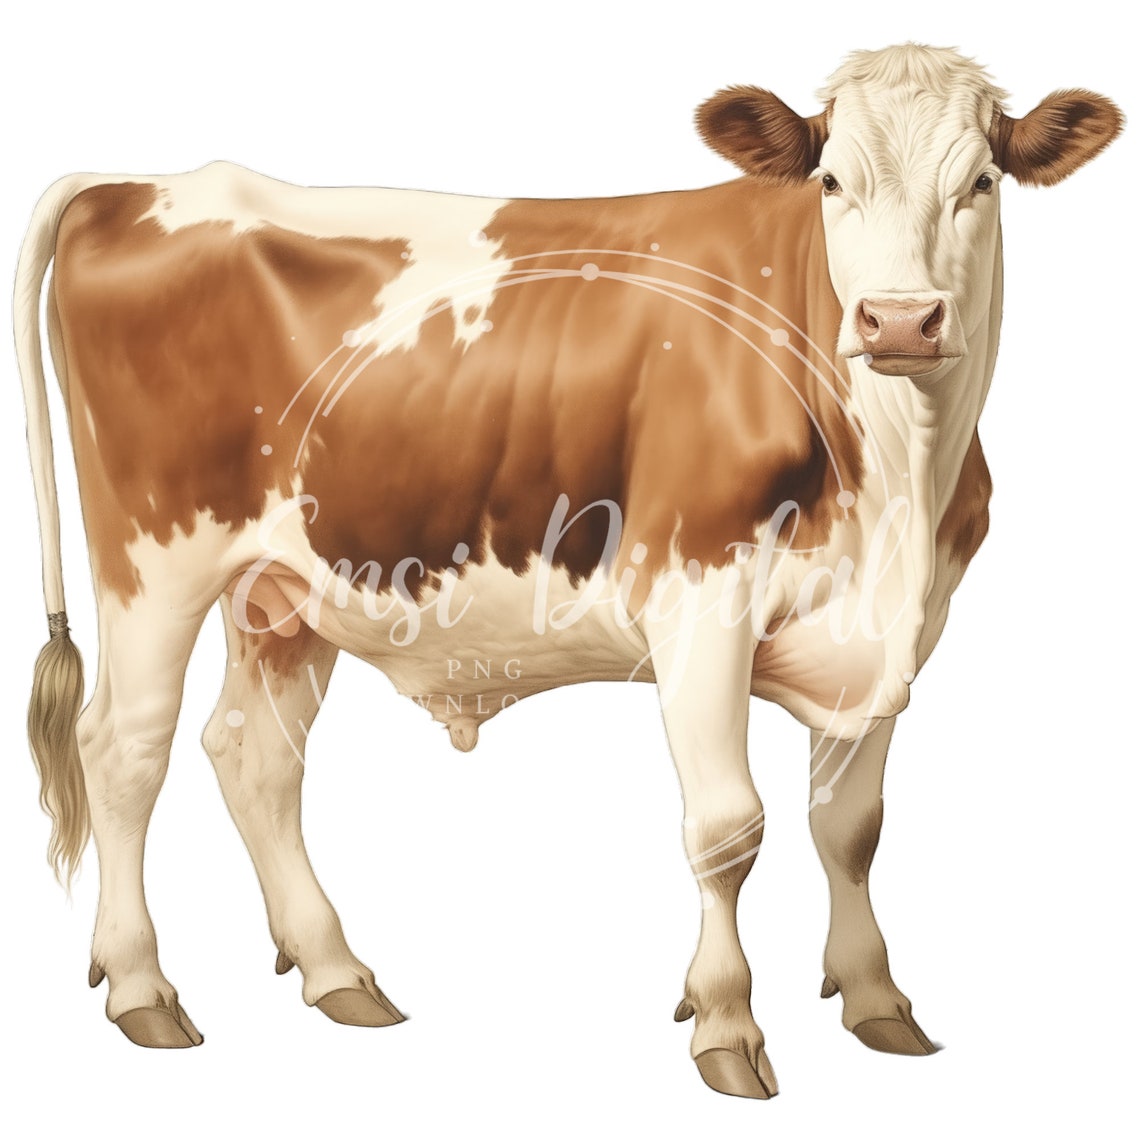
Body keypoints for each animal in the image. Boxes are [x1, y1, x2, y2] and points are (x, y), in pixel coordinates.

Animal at [14, 44, 1121, 1098]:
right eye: (833, 181)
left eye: (980, 182)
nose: (898, 320)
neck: (900, 481)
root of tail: (132, 185)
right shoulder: (698, 601)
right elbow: (729, 828)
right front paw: (726, 1025)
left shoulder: (898, 627)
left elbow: (849, 829)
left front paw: (878, 1000)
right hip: (152, 567)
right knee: (123, 750)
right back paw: (142, 987)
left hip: (283, 591)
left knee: (254, 757)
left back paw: (335, 973)